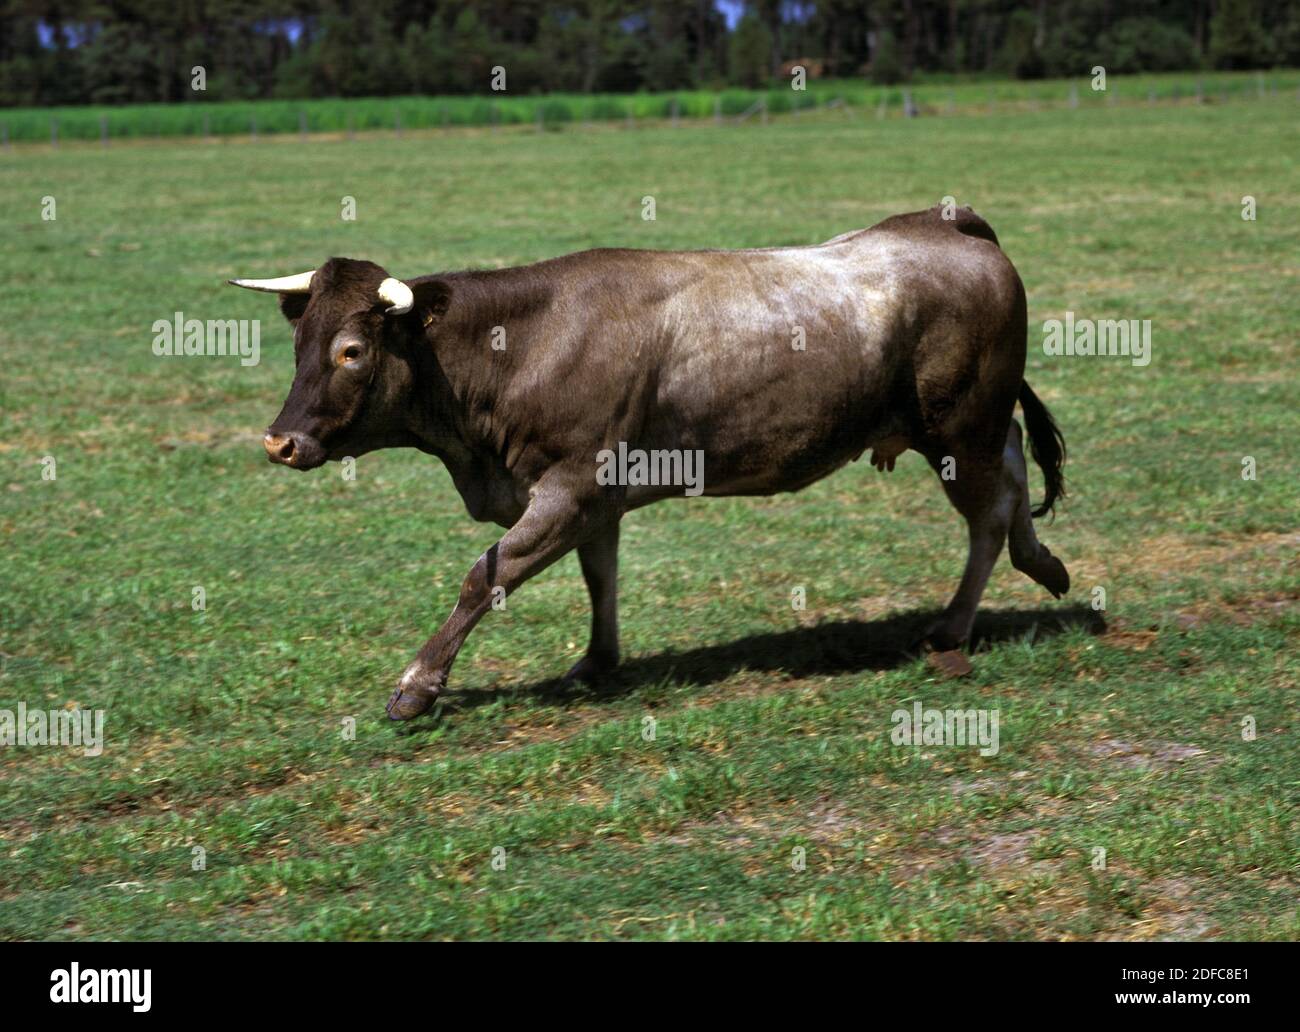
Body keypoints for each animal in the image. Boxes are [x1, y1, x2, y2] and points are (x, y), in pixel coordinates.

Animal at [229, 205, 1069, 721]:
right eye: (300, 343)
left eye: (352, 350)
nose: (280, 442)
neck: (517, 350)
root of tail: (945, 222)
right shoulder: (592, 497)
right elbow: (598, 576)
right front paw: (597, 661)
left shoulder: (568, 489)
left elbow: (485, 576)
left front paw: (417, 686)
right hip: (966, 426)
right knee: (1014, 467)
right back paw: (1044, 562)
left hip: (958, 426)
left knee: (988, 511)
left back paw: (954, 629)